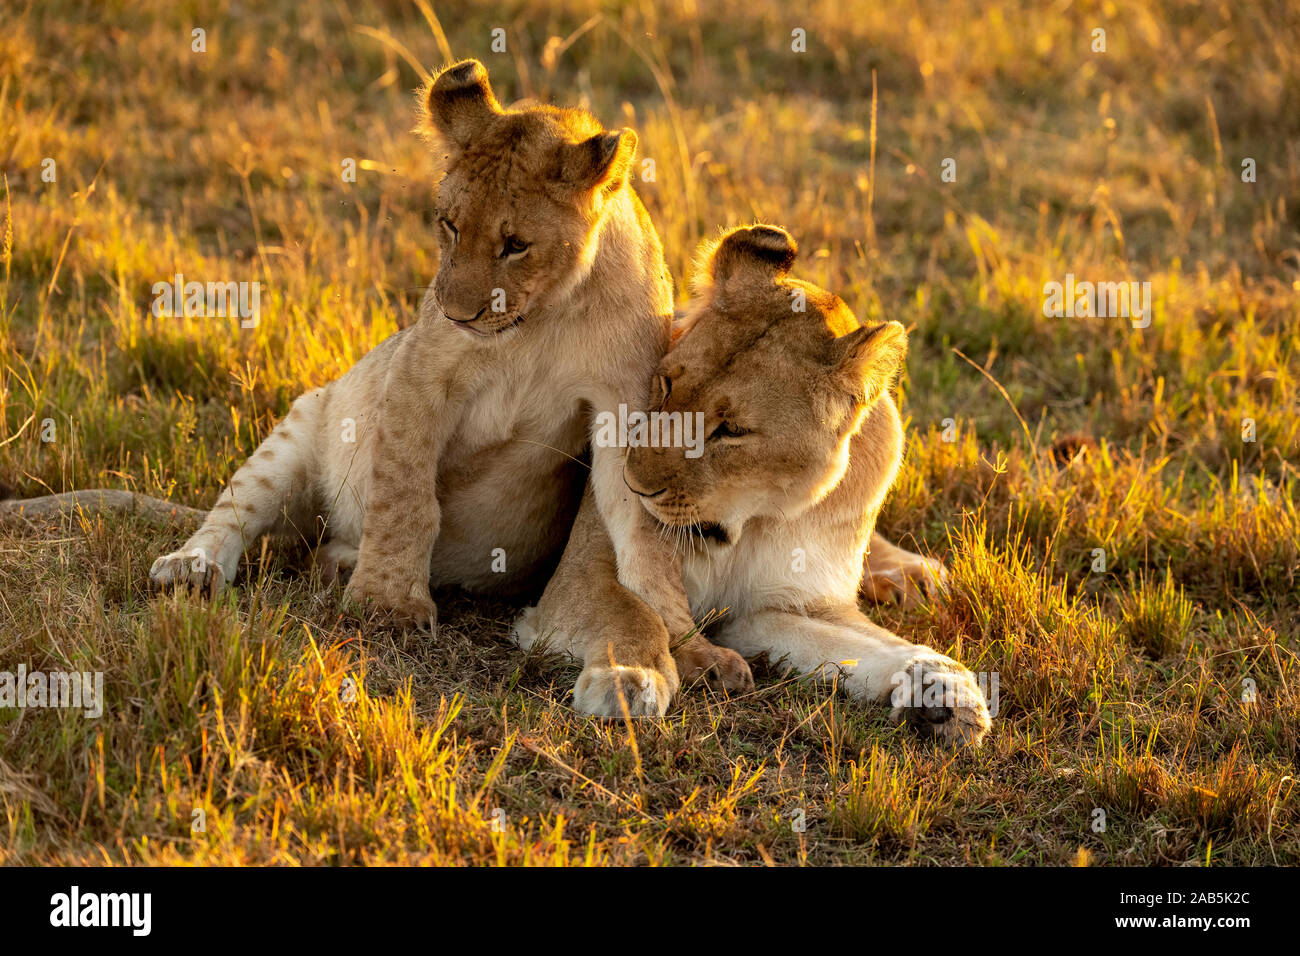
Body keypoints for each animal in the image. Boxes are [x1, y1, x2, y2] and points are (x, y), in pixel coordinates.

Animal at [513, 225, 991, 745]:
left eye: (732, 431)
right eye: (665, 385)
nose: (632, 485)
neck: (756, 519)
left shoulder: (777, 605)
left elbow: (867, 642)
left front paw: (940, 687)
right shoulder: (584, 571)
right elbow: (631, 613)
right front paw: (630, 678)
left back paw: (914, 574)